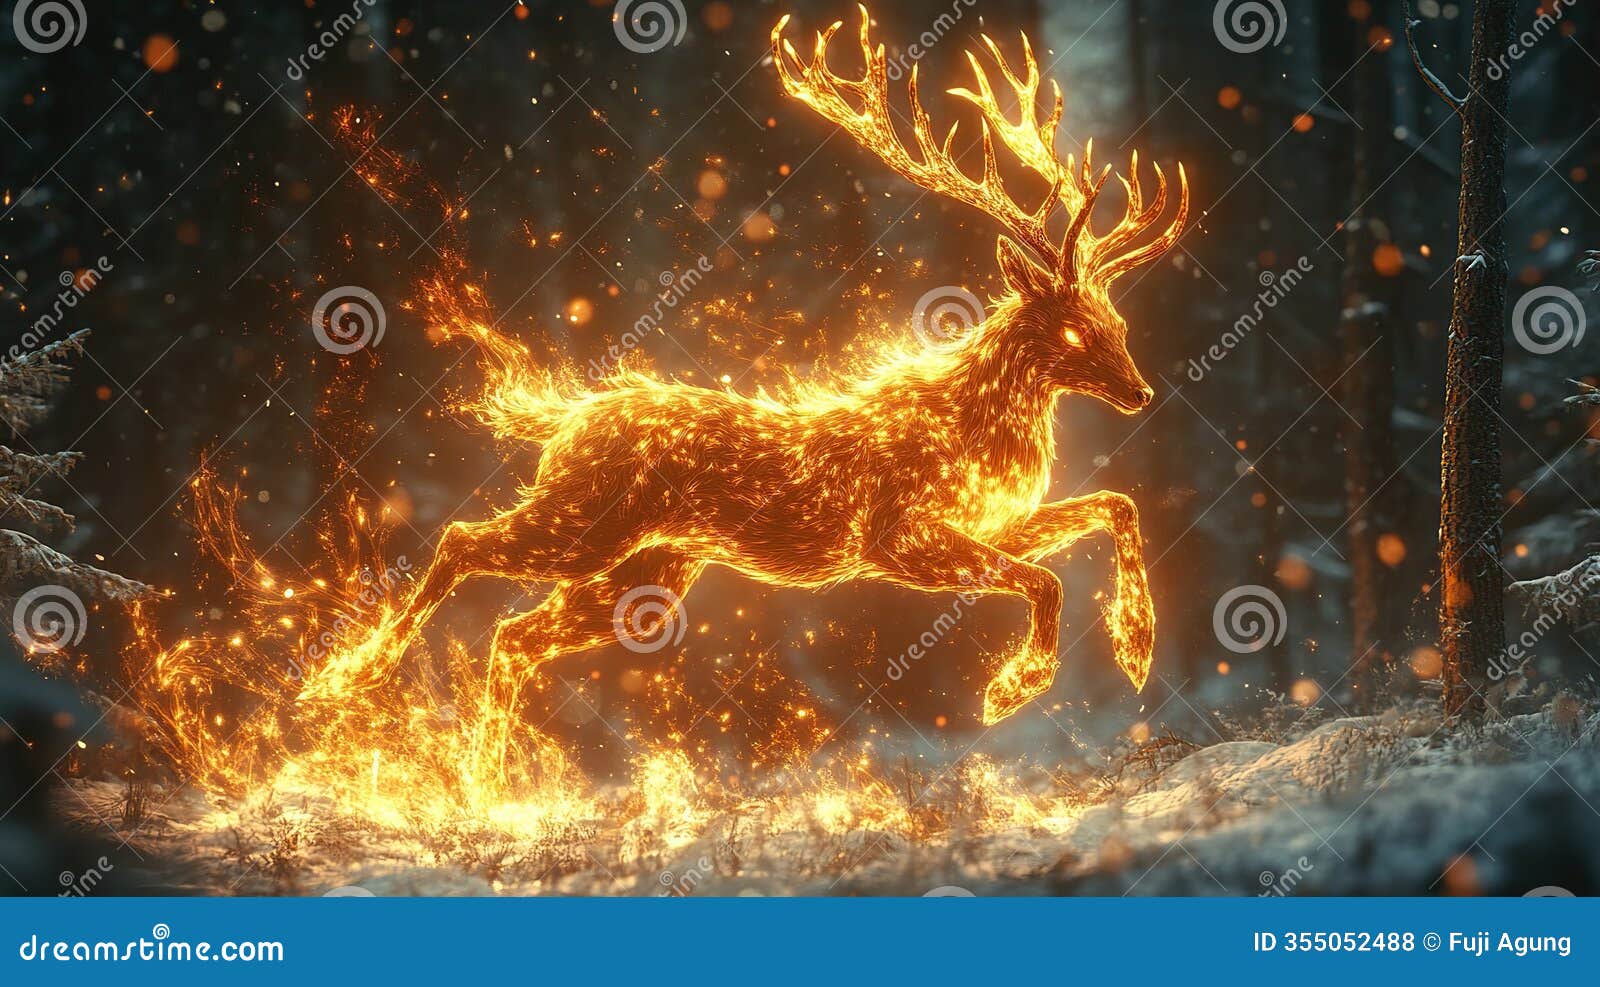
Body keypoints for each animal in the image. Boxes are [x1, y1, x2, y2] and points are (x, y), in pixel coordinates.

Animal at [295, 6, 1188, 776]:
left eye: (1116, 319)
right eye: (1072, 333)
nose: (1143, 392)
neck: (982, 426)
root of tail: (569, 416)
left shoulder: (991, 520)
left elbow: (1114, 507)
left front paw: (1137, 646)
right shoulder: (894, 534)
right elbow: (1045, 577)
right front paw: (1011, 688)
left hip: (646, 571)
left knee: (515, 634)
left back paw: (485, 786)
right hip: (583, 521)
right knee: (461, 541)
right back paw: (342, 682)